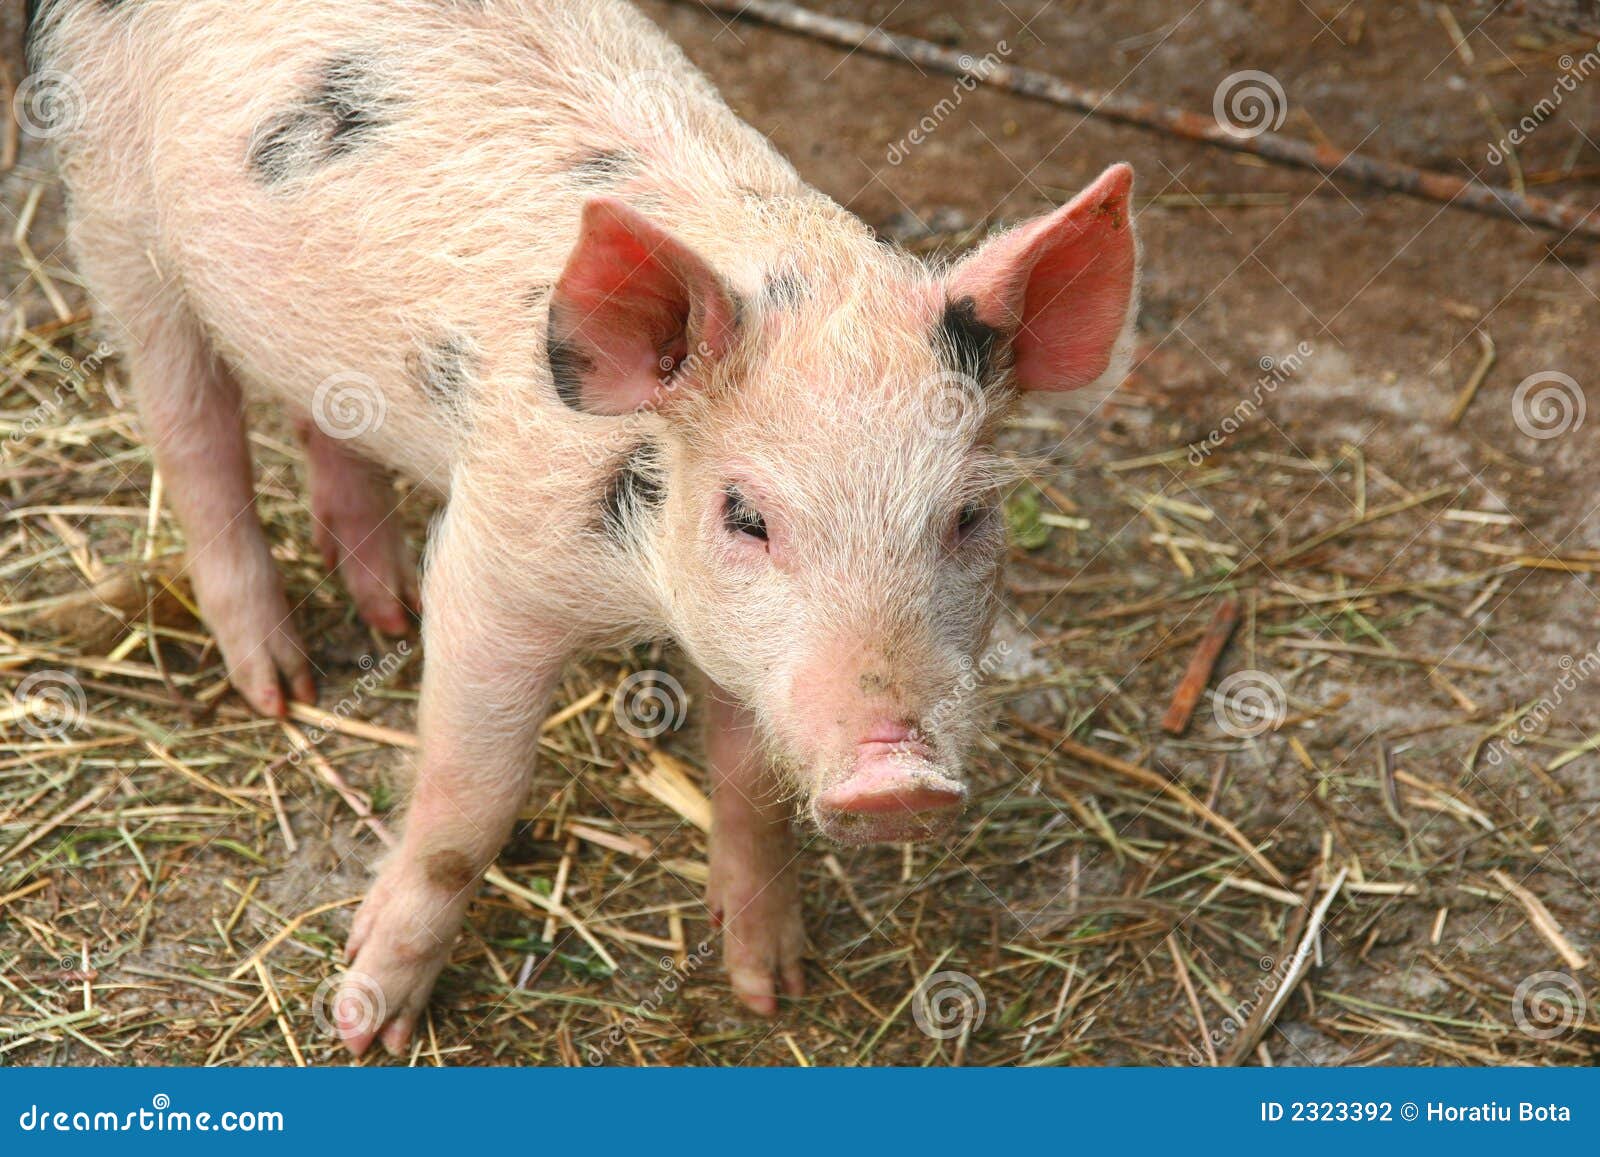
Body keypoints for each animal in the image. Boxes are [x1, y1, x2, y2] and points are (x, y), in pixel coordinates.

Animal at [32, 0, 1138, 1056]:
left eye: (971, 514)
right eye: (747, 515)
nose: (897, 777)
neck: (639, 589)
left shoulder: (741, 647)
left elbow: (749, 781)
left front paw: (768, 986)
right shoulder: (493, 561)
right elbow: (469, 805)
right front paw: (361, 1019)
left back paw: (384, 611)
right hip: (111, 208)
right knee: (192, 427)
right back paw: (282, 685)